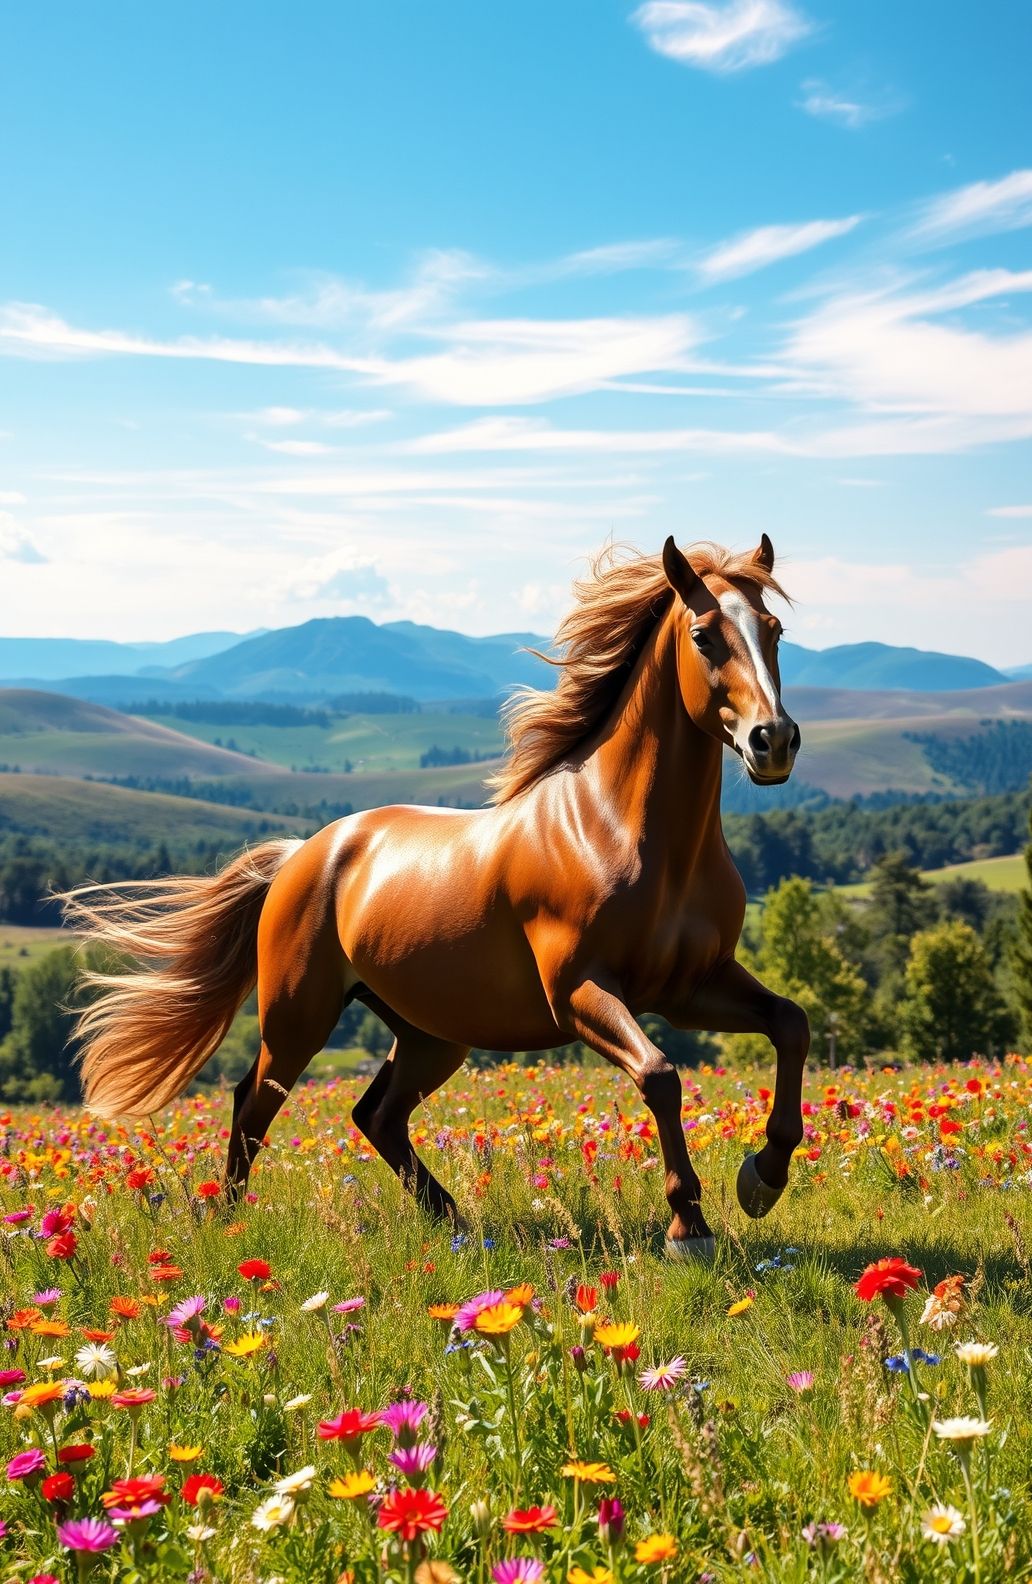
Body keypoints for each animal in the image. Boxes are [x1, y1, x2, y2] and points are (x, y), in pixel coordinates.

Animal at [61, 535, 808, 1260]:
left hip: (430, 1032)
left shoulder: (690, 986)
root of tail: (302, 855)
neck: (619, 832)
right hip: (299, 1014)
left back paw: (451, 1219)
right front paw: (690, 1226)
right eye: (704, 635)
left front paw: (763, 1177)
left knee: (376, 1114)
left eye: (773, 630)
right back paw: (230, 1222)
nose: (773, 741)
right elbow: (659, 1075)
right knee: (255, 1100)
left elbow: (790, 1023)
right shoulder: (579, 991)